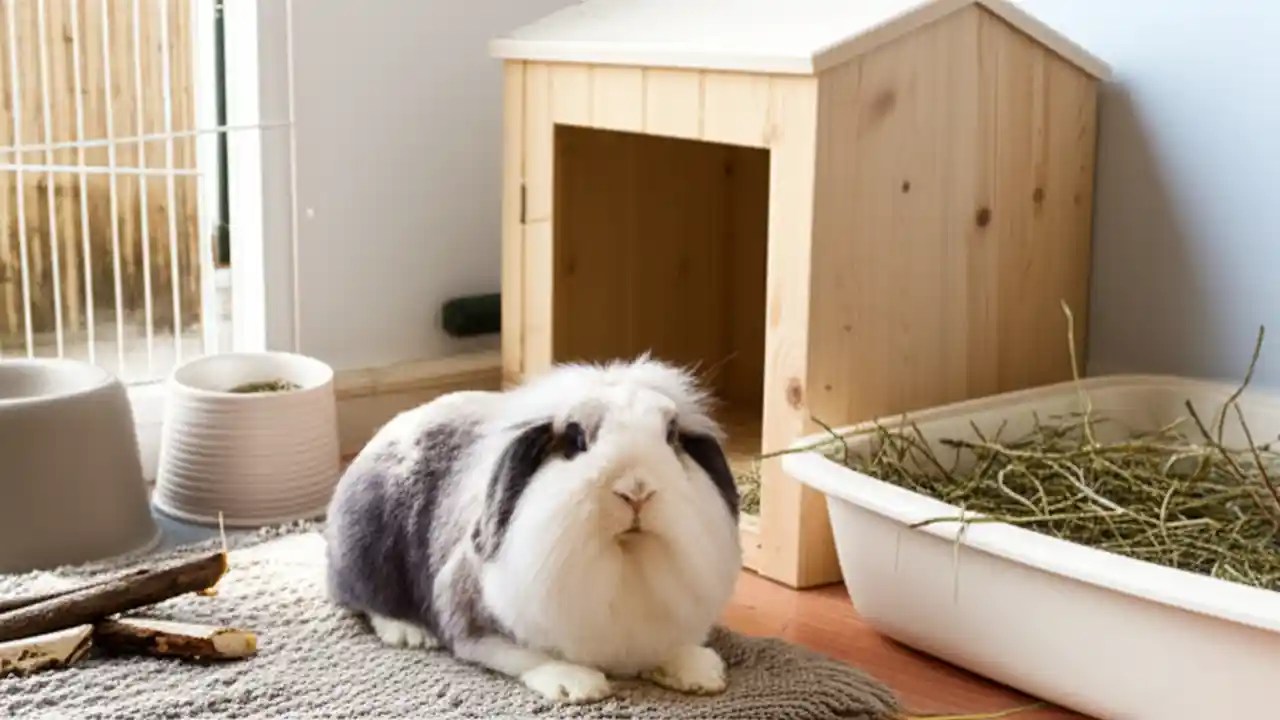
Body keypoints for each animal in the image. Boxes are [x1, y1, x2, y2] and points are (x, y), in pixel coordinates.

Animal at [323, 355, 743, 704]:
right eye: (575, 440)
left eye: (671, 437)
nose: (637, 491)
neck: (624, 561)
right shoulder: (471, 623)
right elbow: (525, 656)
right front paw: (577, 684)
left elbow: (669, 648)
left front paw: (701, 672)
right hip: (365, 551)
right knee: (361, 598)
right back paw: (410, 633)